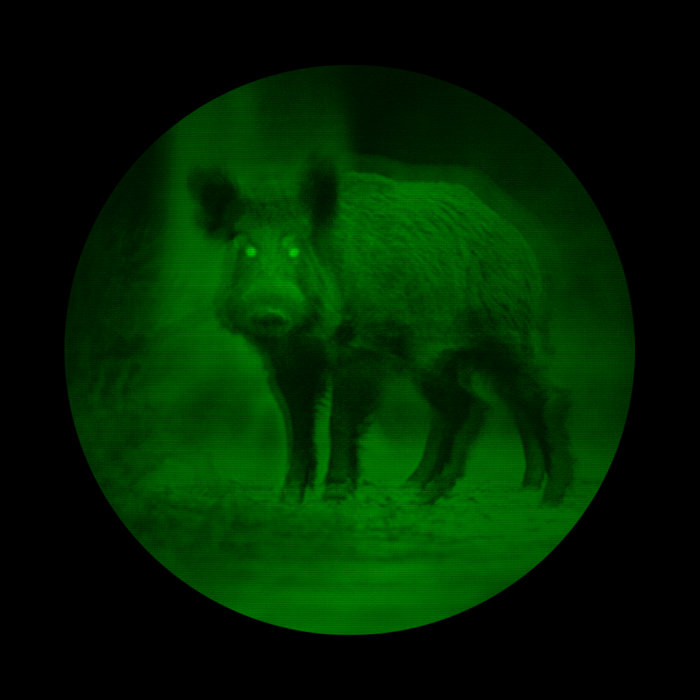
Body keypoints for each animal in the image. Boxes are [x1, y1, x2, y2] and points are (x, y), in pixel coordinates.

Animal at [187, 157, 574, 505]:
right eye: (243, 244)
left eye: (297, 246)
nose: (269, 312)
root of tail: (517, 235)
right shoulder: (288, 361)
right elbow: (297, 424)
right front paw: (288, 497)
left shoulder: (362, 350)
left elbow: (339, 420)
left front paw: (335, 494)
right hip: (438, 360)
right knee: (467, 406)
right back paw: (419, 491)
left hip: (505, 335)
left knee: (541, 396)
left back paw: (550, 496)